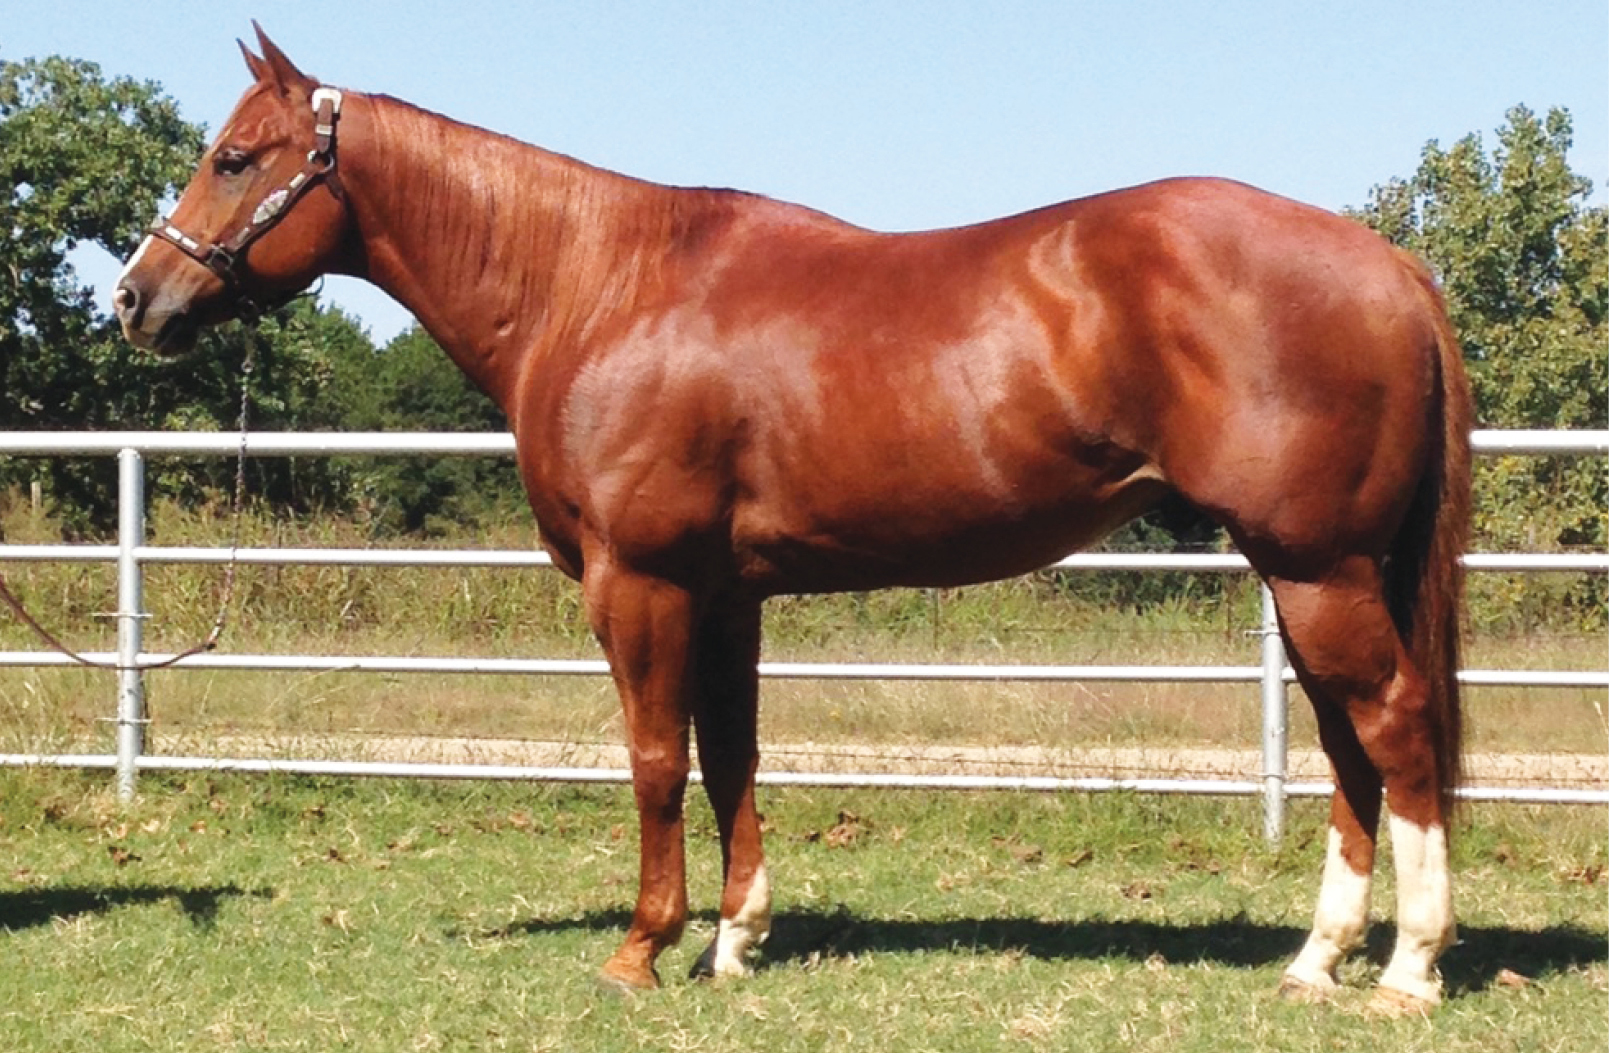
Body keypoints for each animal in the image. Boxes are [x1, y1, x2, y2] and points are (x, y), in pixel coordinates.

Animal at [115, 27, 1472, 1011]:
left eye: (236, 157)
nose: (137, 299)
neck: (600, 287)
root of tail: (1389, 265)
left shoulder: (640, 584)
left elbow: (653, 760)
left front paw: (641, 951)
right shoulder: (725, 596)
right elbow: (730, 755)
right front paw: (736, 939)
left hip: (1317, 568)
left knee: (1392, 729)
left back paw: (1408, 970)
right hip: (1309, 573)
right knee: (1348, 748)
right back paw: (1315, 961)